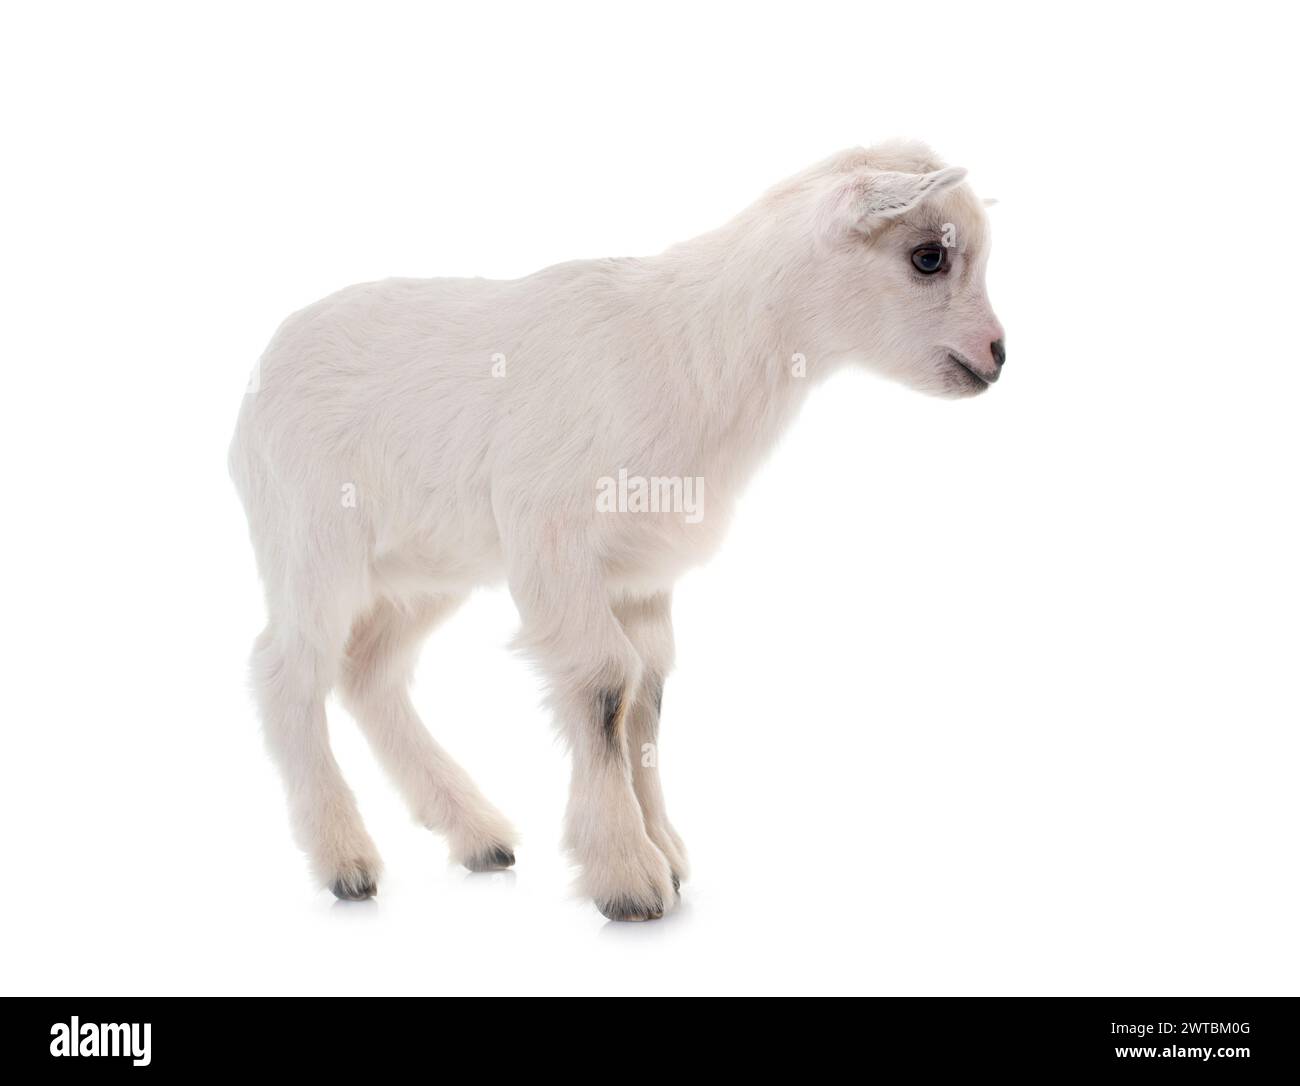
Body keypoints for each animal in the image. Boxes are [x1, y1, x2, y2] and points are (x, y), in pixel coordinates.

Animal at [229, 139, 1005, 920]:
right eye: (929, 256)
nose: (999, 355)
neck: (692, 346)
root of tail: (254, 390)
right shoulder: (553, 540)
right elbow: (605, 683)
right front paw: (628, 875)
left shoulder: (640, 571)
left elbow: (646, 698)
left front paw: (665, 852)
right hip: (311, 538)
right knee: (287, 669)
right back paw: (345, 860)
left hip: (426, 564)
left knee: (369, 671)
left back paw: (478, 835)